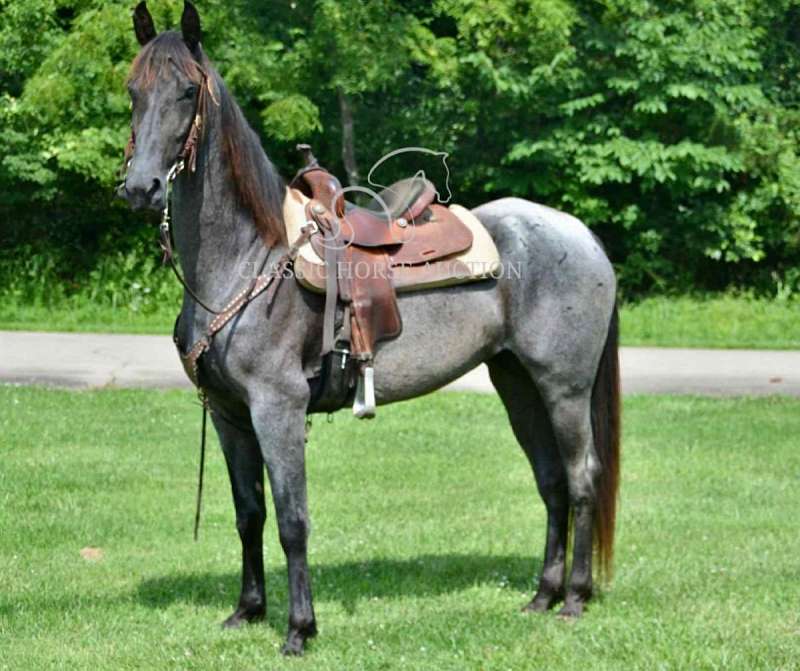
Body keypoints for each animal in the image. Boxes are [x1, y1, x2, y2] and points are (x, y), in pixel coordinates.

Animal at [121, 2, 620, 656]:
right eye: (133, 91)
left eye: (186, 90)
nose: (140, 188)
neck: (249, 258)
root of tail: (582, 236)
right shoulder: (230, 415)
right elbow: (249, 512)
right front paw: (247, 610)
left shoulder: (277, 408)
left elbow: (292, 519)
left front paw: (299, 629)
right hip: (518, 384)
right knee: (552, 481)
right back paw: (542, 596)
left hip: (564, 388)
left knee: (582, 478)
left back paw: (575, 600)